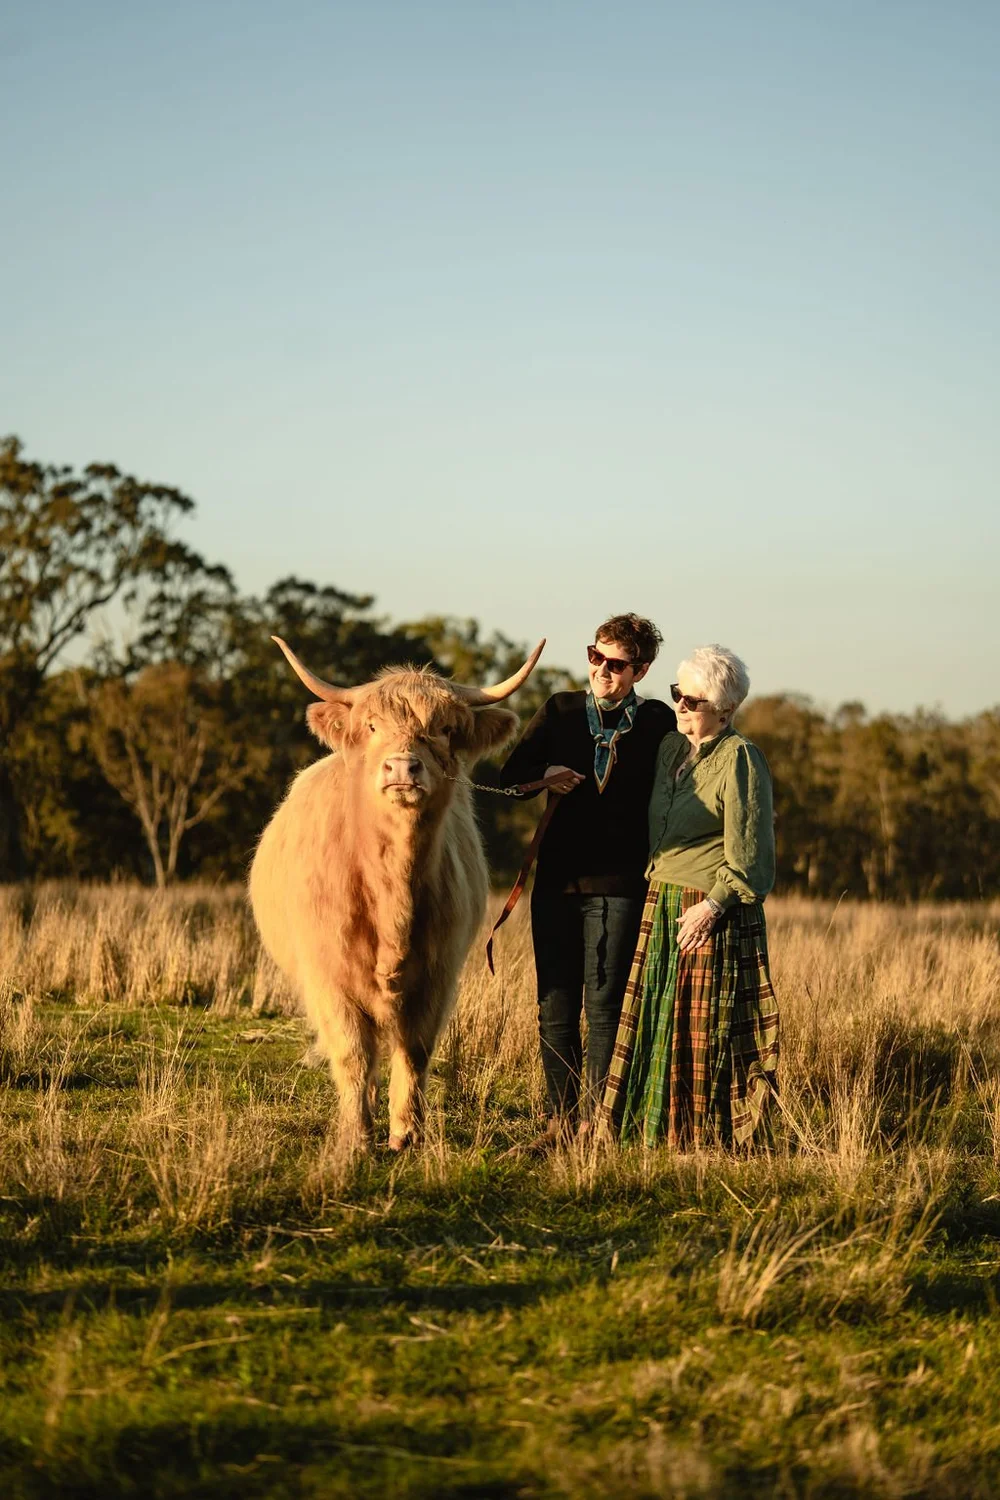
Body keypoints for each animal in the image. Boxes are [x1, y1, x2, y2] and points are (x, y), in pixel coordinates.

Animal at [249, 635, 544, 1154]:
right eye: (371, 726)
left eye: (443, 729)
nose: (402, 766)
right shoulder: (328, 977)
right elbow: (351, 1052)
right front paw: (356, 1136)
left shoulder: (438, 974)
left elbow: (415, 1049)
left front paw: (406, 1132)